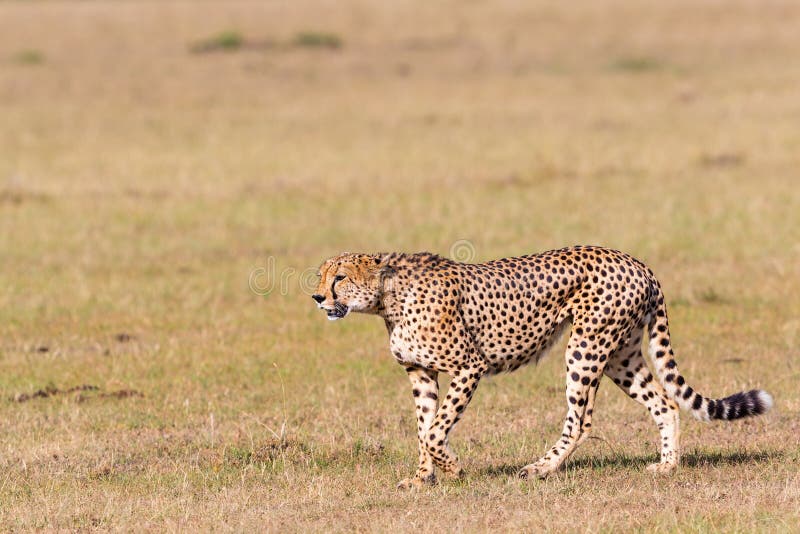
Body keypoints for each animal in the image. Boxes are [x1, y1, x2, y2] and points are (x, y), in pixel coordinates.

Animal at [312, 246, 773, 489]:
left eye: (339, 277)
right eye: (320, 276)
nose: (317, 298)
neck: (386, 298)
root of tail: (636, 261)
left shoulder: (469, 366)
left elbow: (436, 428)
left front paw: (452, 470)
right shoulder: (420, 372)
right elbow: (425, 427)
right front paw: (423, 479)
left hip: (585, 347)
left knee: (581, 420)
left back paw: (541, 467)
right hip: (621, 355)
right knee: (665, 403)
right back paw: (667, 465)